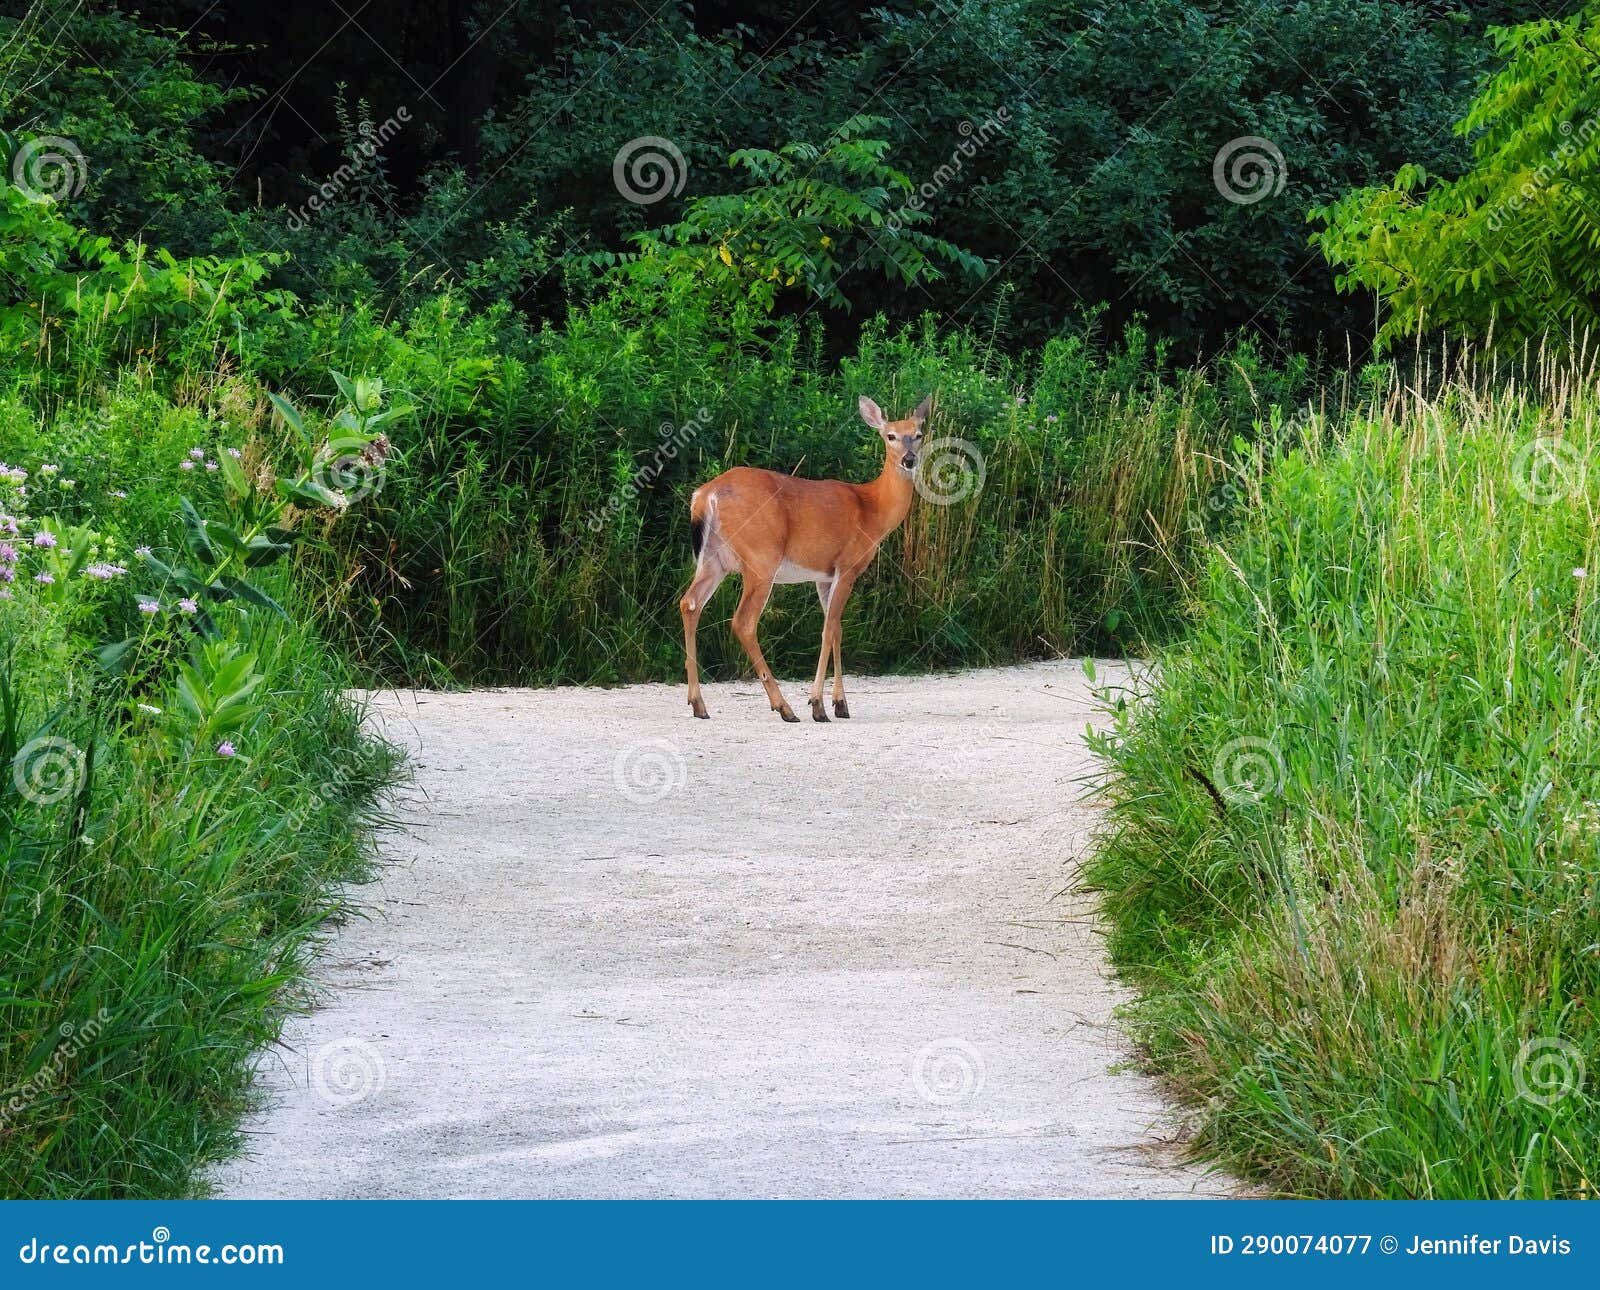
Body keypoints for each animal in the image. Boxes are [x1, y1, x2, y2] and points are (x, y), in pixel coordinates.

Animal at [680, 394, 932, 723]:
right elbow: (829, 629)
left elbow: (836, 629)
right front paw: (818, 705)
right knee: (743, 622)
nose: (909, 459)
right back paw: (783, 707)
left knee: (689, 603)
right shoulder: (847, 566)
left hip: (713, 559)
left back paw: (698, 704)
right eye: (890, 436)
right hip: (761, 558)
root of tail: (705, 495)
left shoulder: (823, 576)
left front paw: (841, 704)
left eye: (918, 434)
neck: (872, 509)